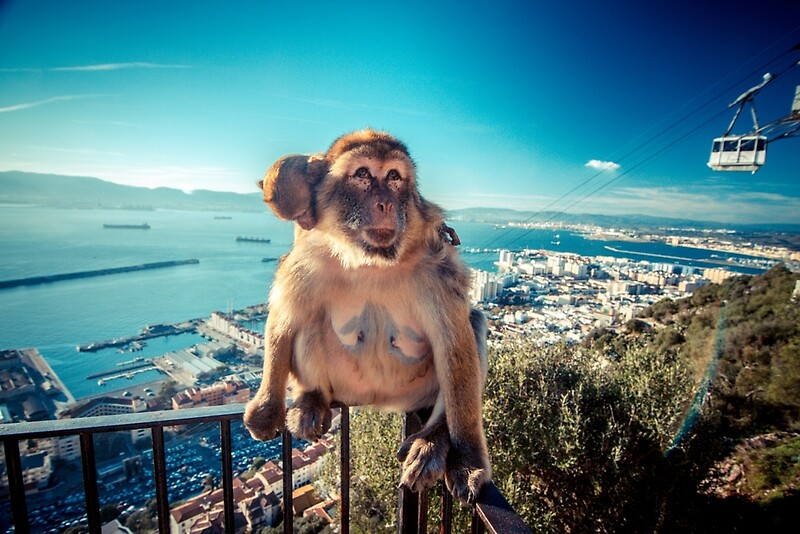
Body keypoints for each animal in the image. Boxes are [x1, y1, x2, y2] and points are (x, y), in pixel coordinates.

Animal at [244, 129, 490, 503]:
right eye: (362, 174)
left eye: (393, 177)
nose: (385, 203)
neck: (371, 259)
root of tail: (380, 401)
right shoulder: (308, 258)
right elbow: (286, 316)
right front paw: (267, 408)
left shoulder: (437, 267)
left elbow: (454, 341)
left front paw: (466, 458)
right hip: (347, 386)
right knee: (308, 321)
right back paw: (312, 399)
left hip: (416, 391)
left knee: (472, 326)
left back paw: (433, 440)